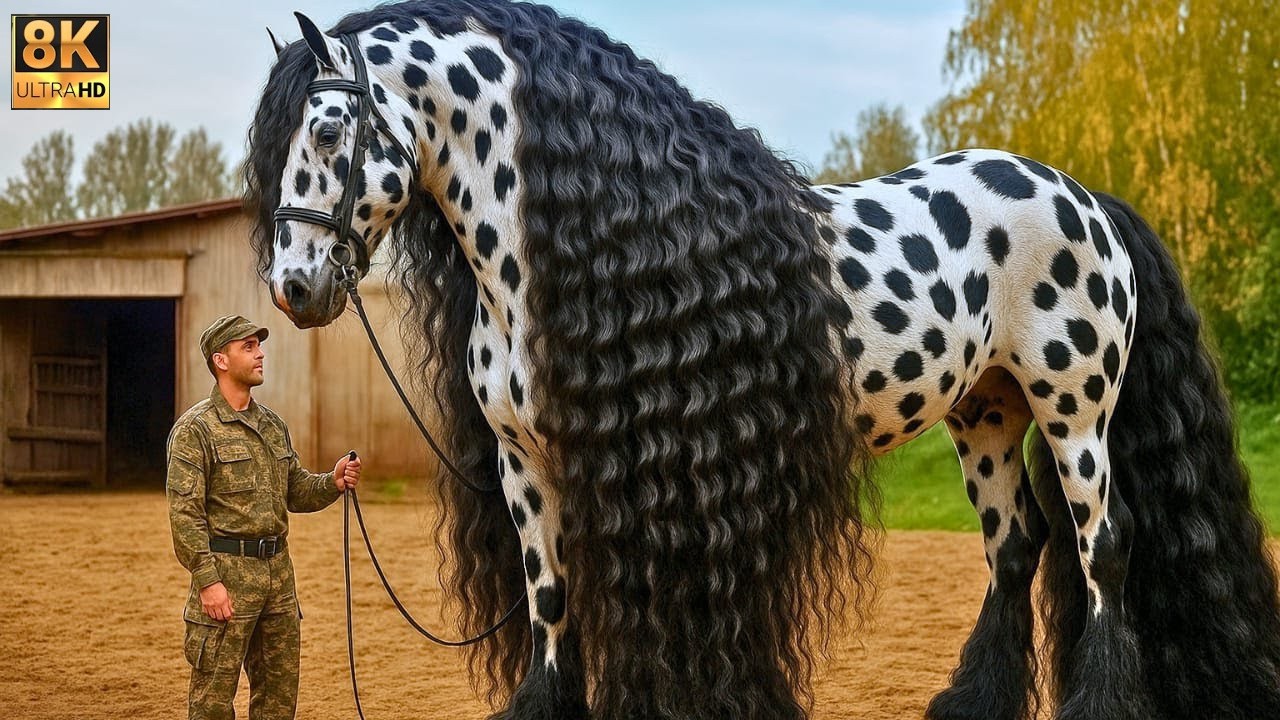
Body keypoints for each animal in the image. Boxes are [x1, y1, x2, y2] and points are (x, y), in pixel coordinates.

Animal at [243, 2, 1280, 719]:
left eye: (327, 131)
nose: (294, 286)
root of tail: (1083, 197)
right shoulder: (524, 463)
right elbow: (549, 598)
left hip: (1075, 411)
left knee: (1103, 550)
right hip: (986, 414)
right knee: (1016, 548)